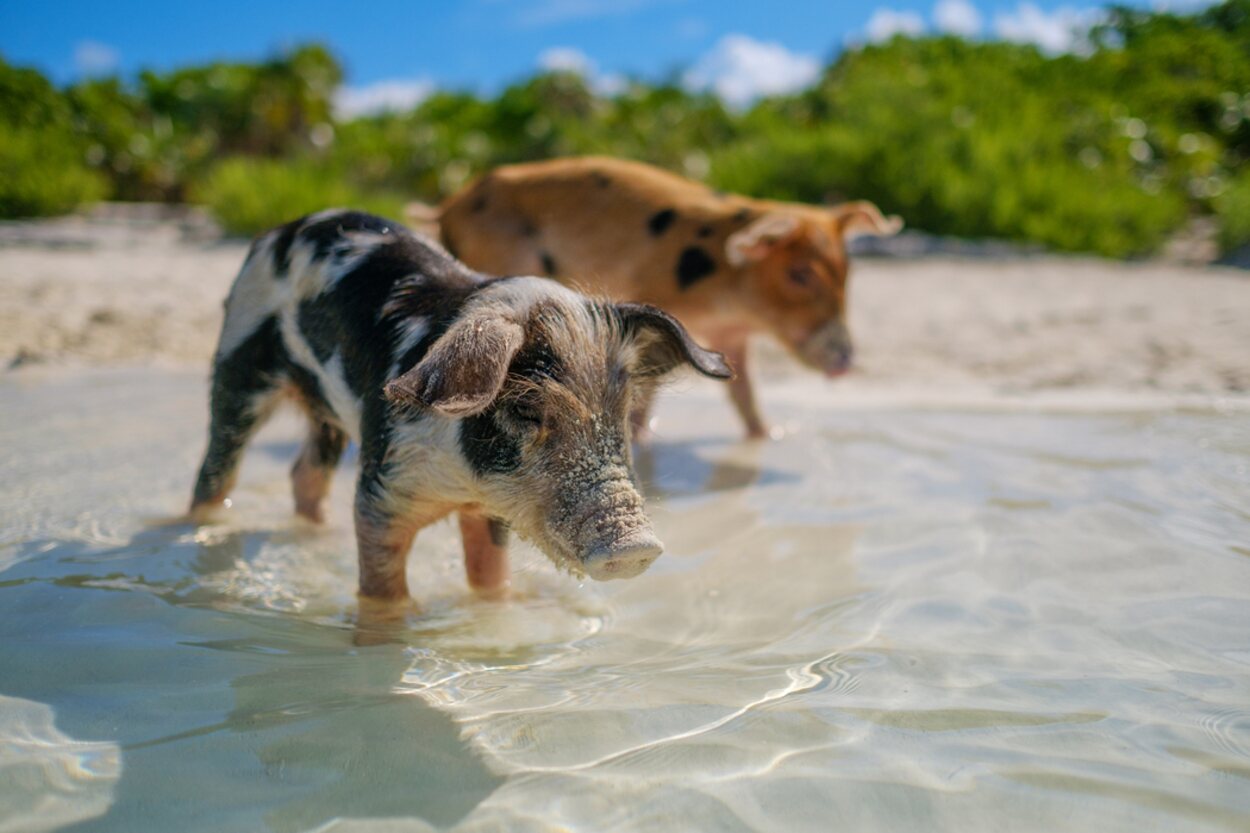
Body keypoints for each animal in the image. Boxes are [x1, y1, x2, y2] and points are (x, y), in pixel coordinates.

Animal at [189, 209, 732, 601]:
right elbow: (384, 589)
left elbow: (489, 577)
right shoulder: (382, 485)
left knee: (305, 473)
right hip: (238, 357)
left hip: (327, 410)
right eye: (526, 410)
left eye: (619, 413)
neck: (458, 482)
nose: (636, 545)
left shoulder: (489, 509)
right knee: (217, 466)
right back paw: (201, 531)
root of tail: (279, 232)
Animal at [433, 156, 902, 439]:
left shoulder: (731, 336)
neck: (729, 298)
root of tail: (448, 206)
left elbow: (744, 394)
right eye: (799, 273)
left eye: (846, 274)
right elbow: (650, 385)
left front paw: (767, 436)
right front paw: (640, 437)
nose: (845, 362)